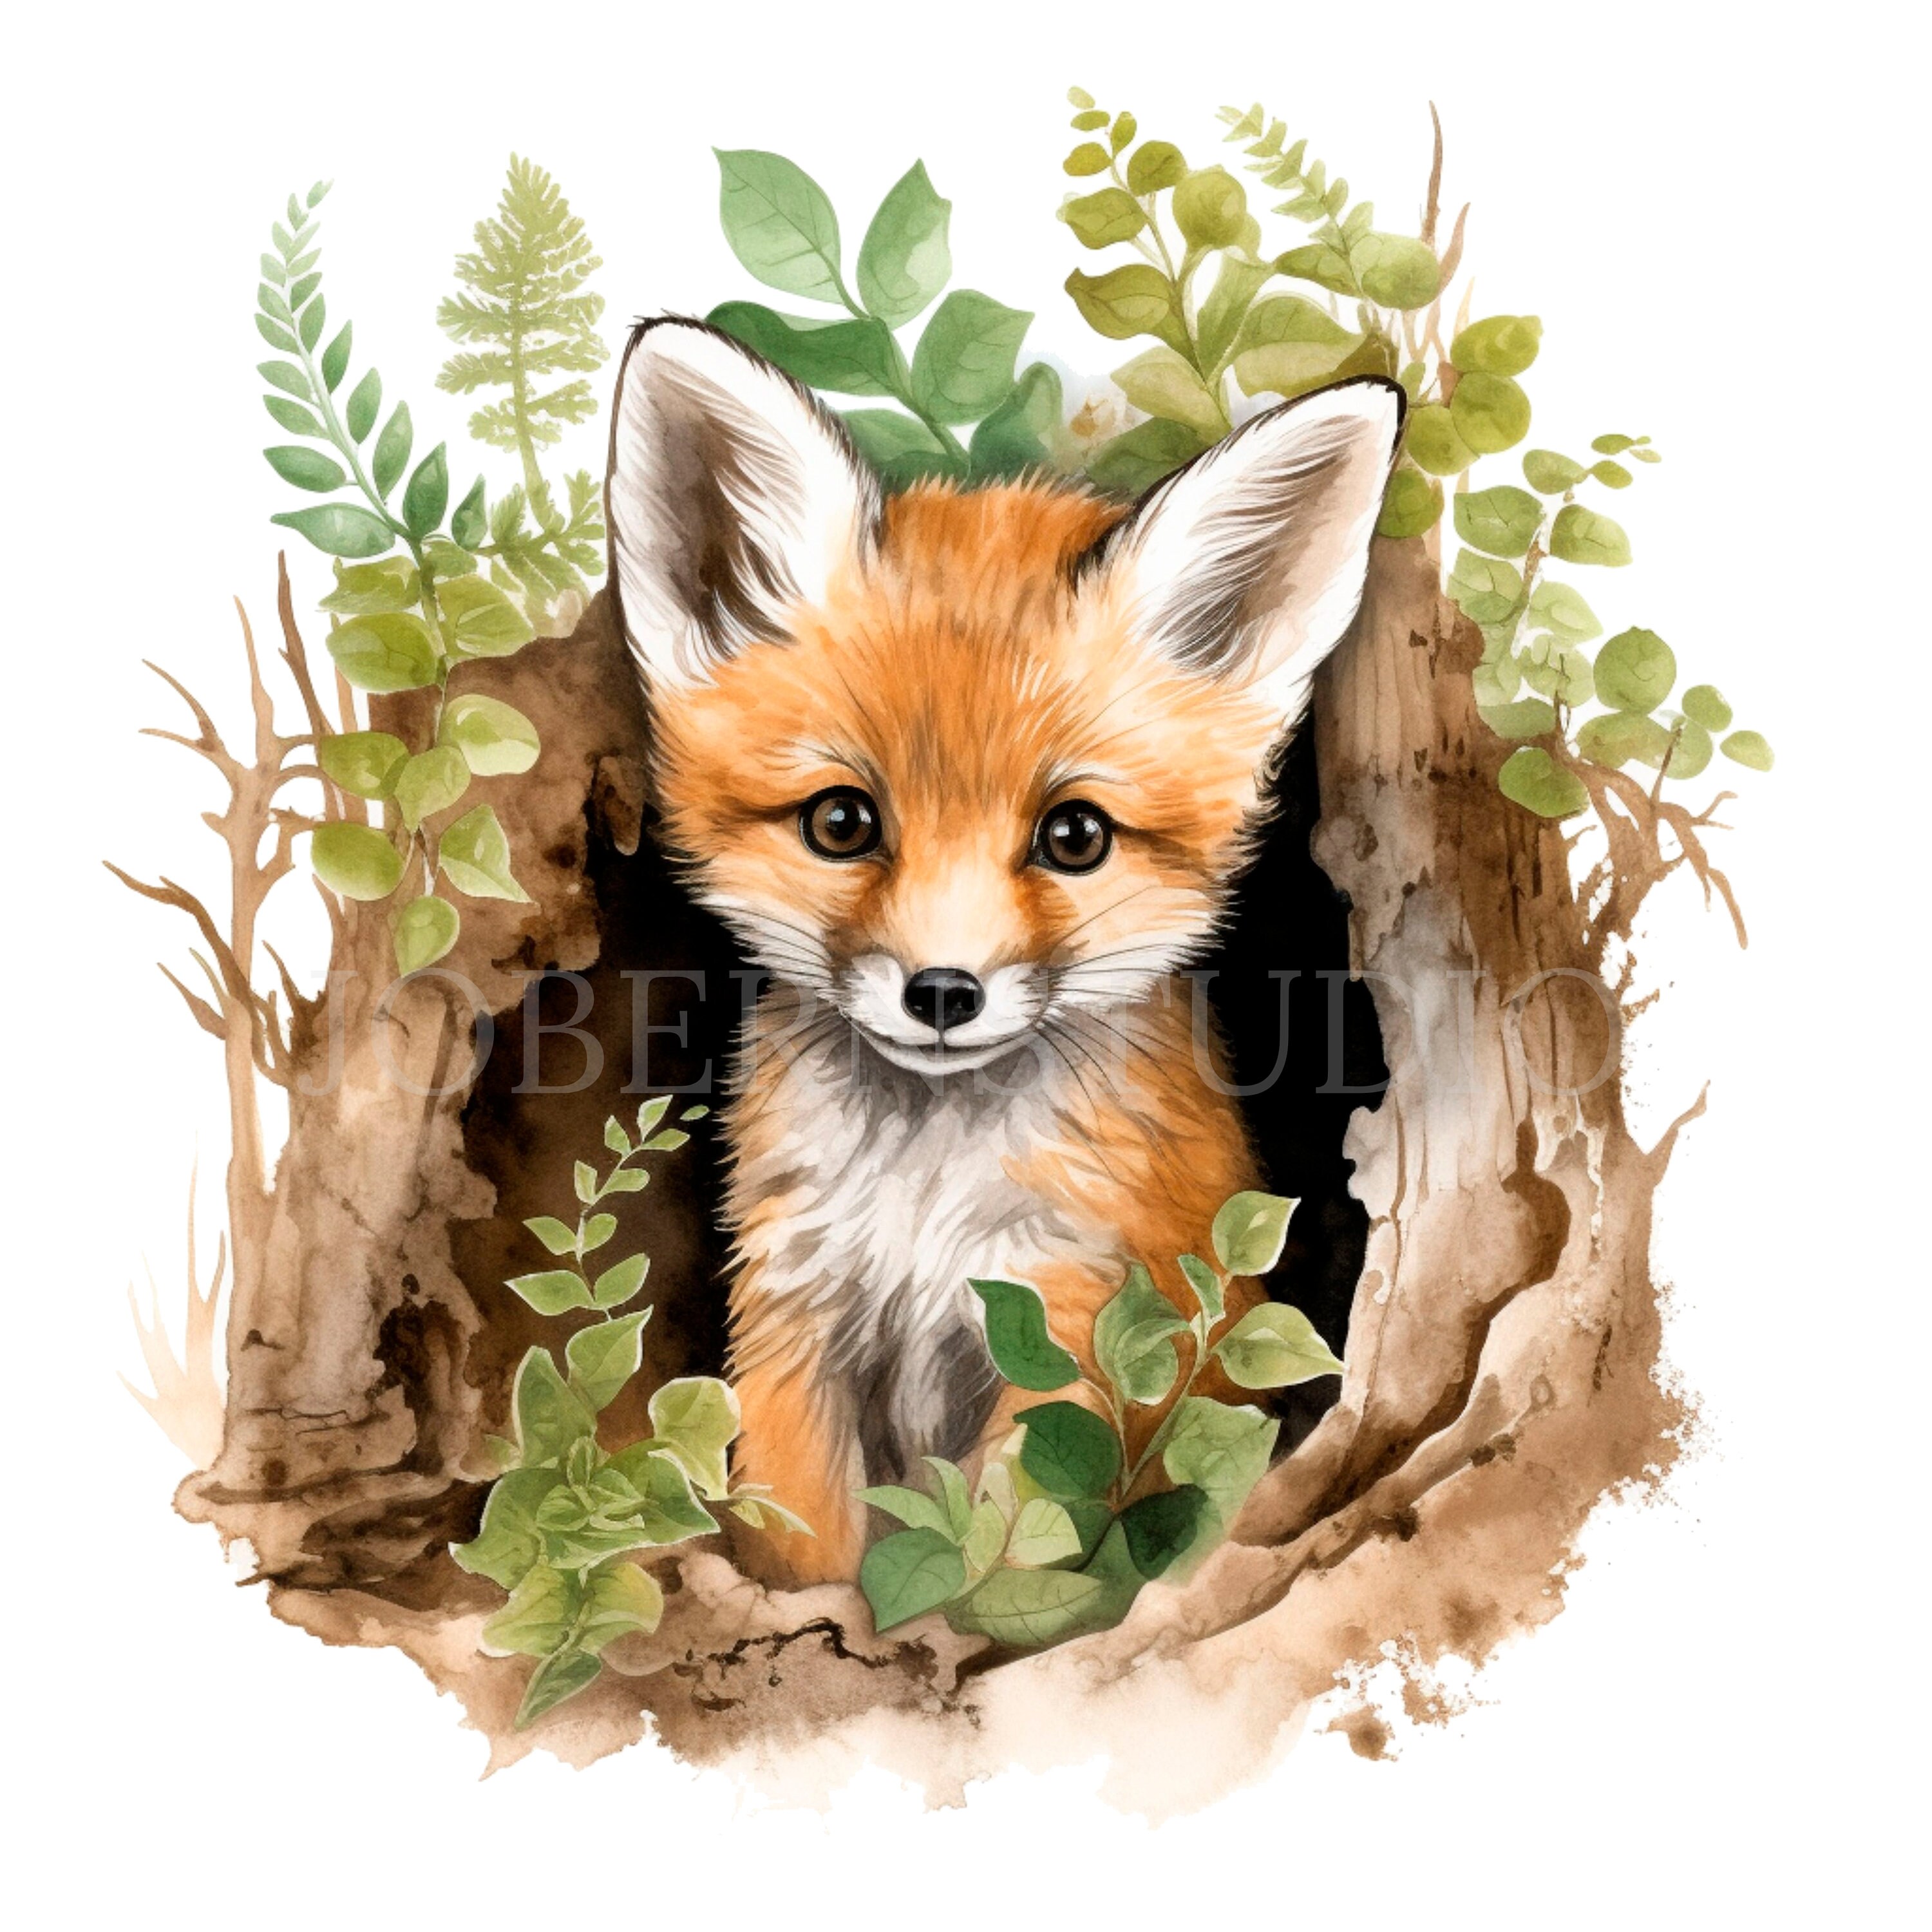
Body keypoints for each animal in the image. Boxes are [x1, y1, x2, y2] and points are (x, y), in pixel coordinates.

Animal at [604, 317, 1401, 1584]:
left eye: (1074, 837)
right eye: (842, 822)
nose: (943, 992)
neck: (926, 1203)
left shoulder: (1077, 1322)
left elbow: (1007, 1560)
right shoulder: (794, 1313)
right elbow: (806, 1551)